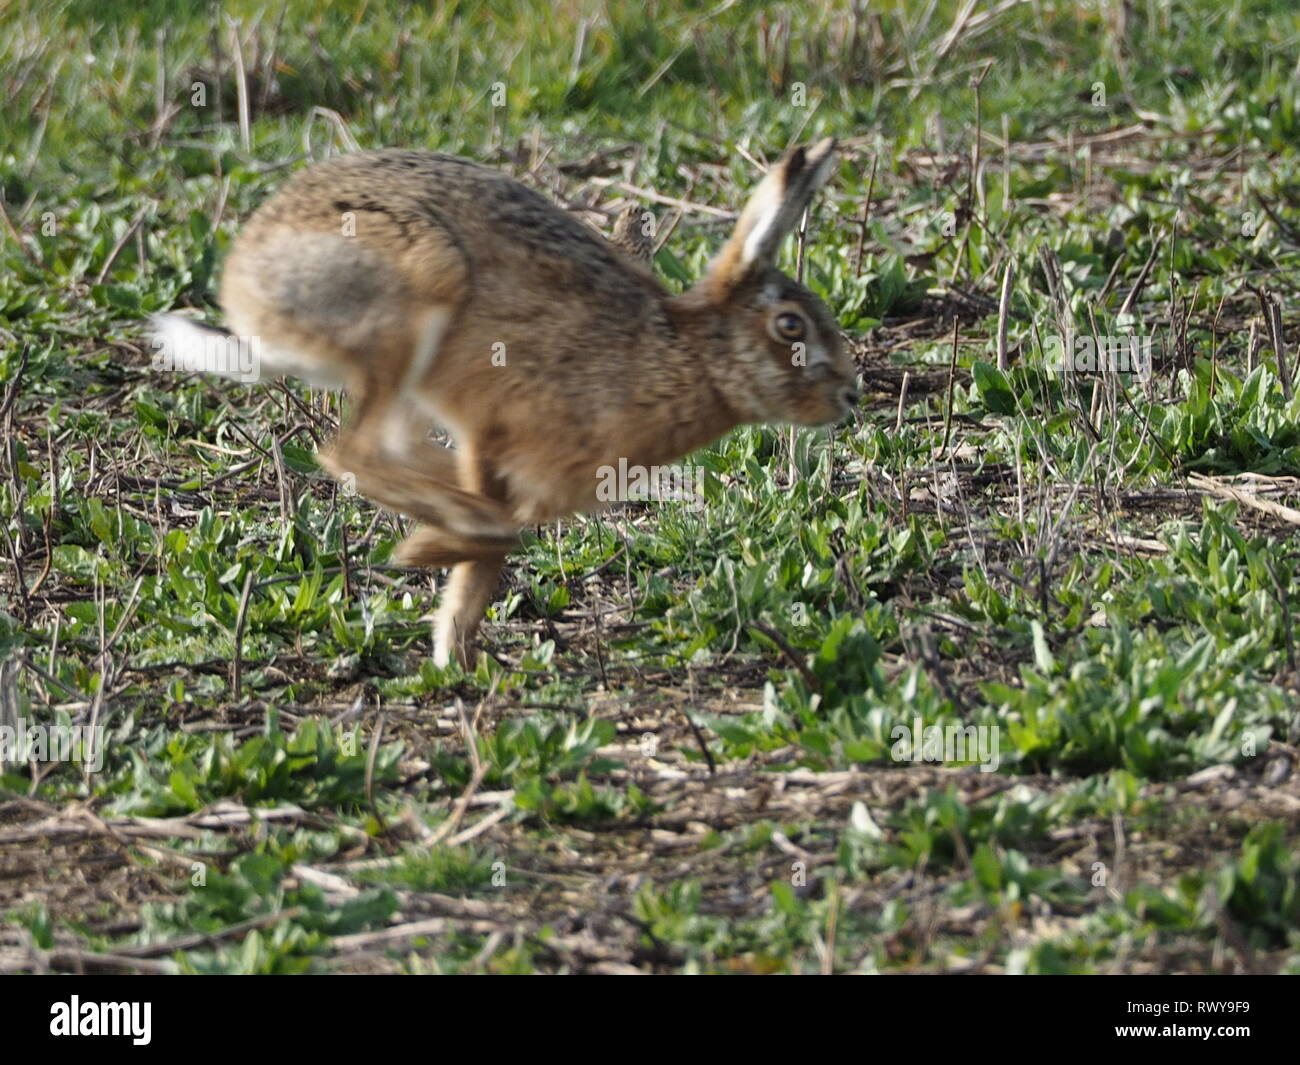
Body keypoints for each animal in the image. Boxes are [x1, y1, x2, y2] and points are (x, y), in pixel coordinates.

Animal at [151, 137, 858, 669]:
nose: (848, 394)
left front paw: (456, 656)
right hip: (416, 289)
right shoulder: (495, 430)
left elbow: (490, 558)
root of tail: (246, 292)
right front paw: (446, 616)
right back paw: (433, 535)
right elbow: (492, 545)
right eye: (790, 326)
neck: (687, 353)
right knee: (351, 451)